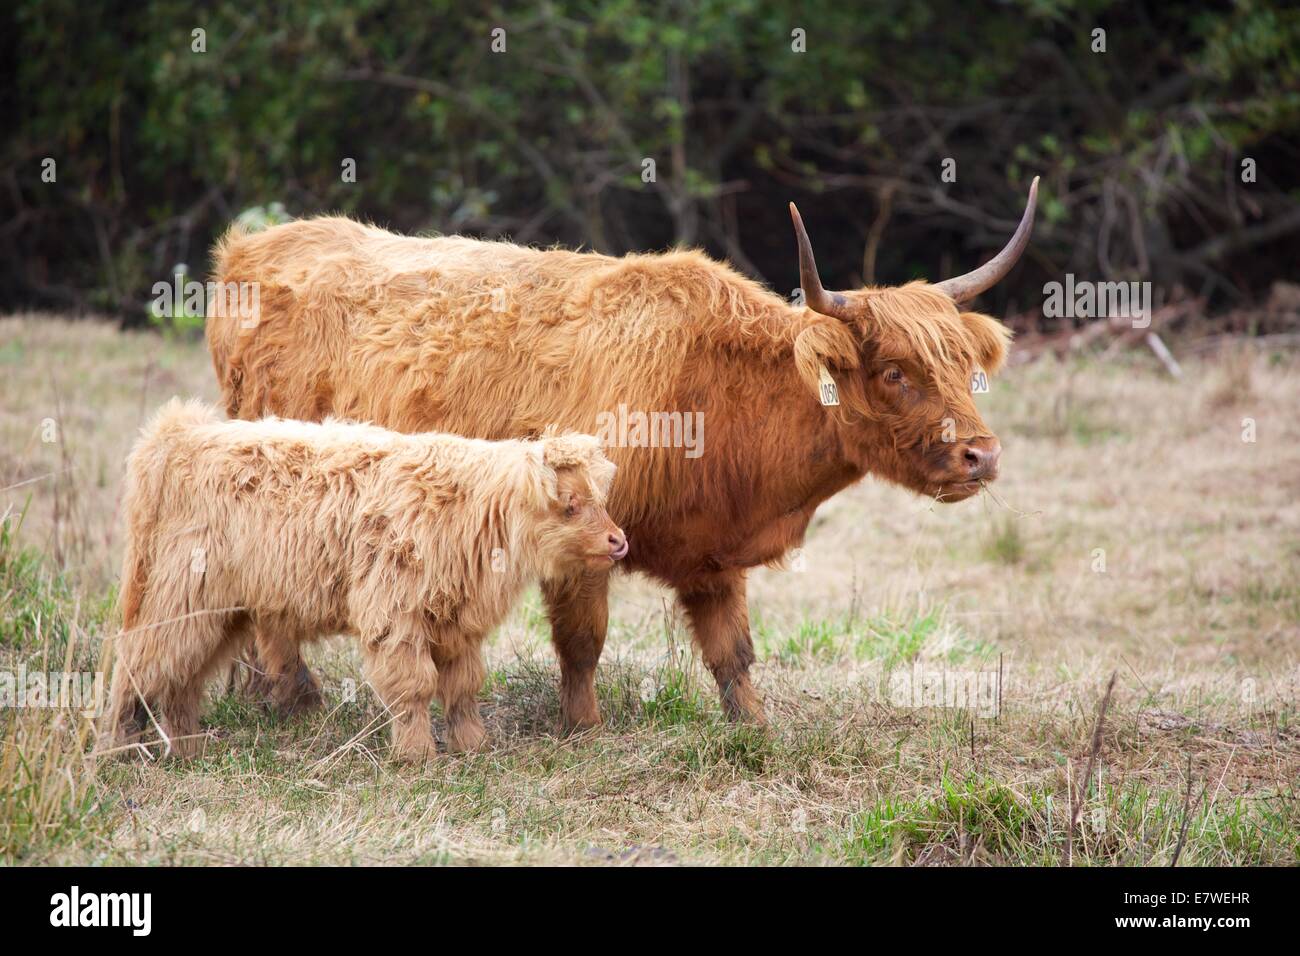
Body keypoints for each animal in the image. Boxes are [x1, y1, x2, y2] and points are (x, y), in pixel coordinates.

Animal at [106, 399, 624, 761]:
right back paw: (116, 748)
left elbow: (462, 687)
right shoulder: (395, 614)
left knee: (181, 679)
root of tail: (179, 435)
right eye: (570, 504)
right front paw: (416, 755)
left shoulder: (458, 622)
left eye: (599, 497)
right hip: (179, 599)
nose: (619, 540)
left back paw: (187, 748)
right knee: (139, 664)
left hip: (221, 611)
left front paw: (472, 744)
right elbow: (414, 686)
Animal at [205, 179, 1038, 730]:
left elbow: (733, 653)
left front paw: (754, 727)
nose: (982, 456)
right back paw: (295, 697)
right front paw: (585, 728)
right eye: (895, 372)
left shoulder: (716, 555)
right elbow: (584, 642)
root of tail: (253, 246)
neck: (719, 393)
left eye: (966, 365)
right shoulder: (580, 540)